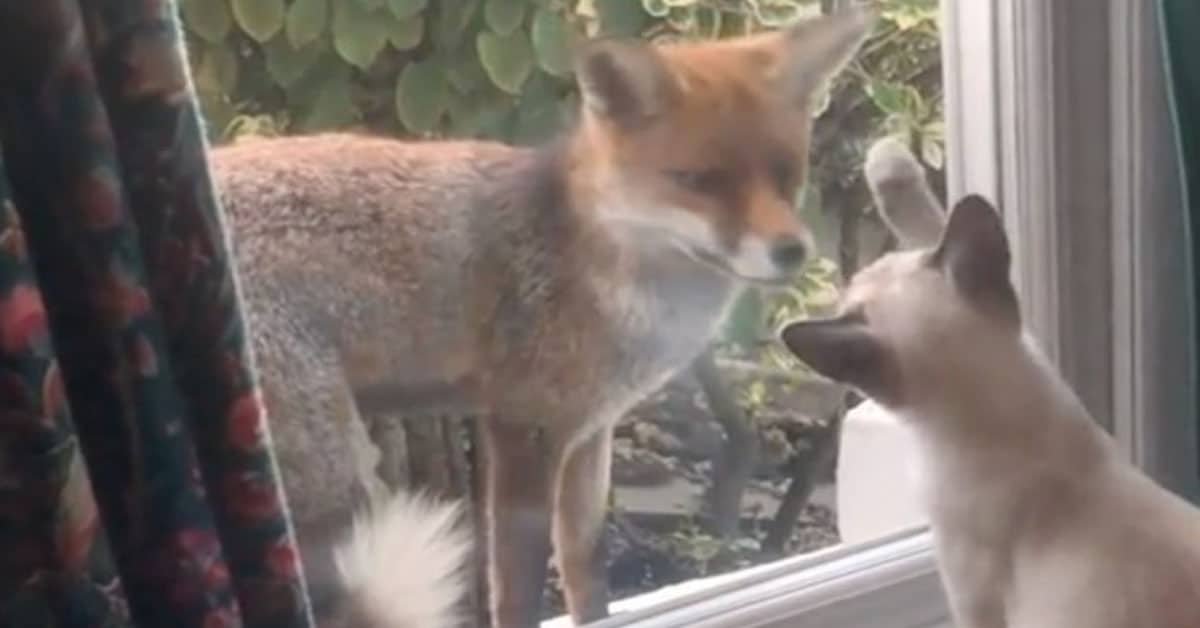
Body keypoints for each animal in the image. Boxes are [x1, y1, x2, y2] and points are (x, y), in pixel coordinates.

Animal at [209, 6, 875, 626]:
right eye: (699, 181)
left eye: (787, 174)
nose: (793, 251)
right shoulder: (523, 428)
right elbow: (518, 589)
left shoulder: (591, 432)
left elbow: (585, 567)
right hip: (334, 480)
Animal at [779, 137, 1200, 628]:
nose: (843, 286)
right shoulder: (1027, 340)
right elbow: (930, 226)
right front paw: (890, 164)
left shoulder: (971, 598)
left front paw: (885, 159)